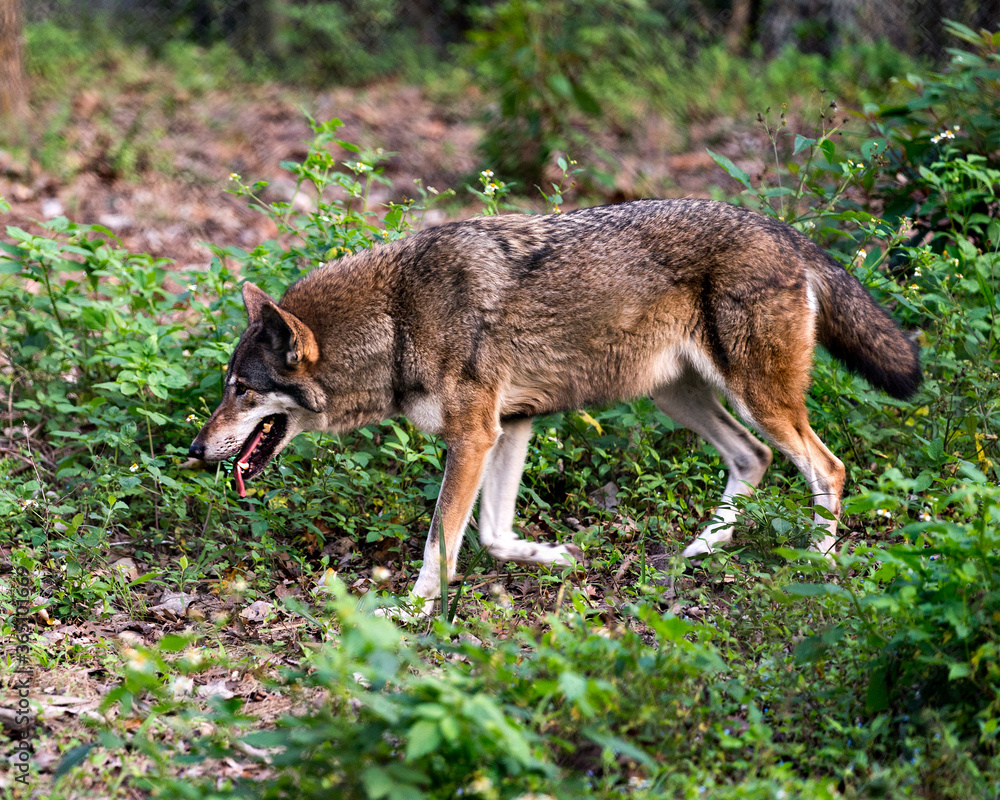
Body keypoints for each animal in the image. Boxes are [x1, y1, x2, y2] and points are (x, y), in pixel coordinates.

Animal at [189, 199, 921, 607]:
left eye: (241, 389)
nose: (195, 449)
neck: (397, 319)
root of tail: (784, 229)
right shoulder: (510, 426)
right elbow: (491, 535)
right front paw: (557, 558)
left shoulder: (475, 436)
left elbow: (440, 543)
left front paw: (414, 613)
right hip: (678, 396)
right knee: (755, 458)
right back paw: (700, 550)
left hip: (753, 399)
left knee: (828, 468)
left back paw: (817, 563)